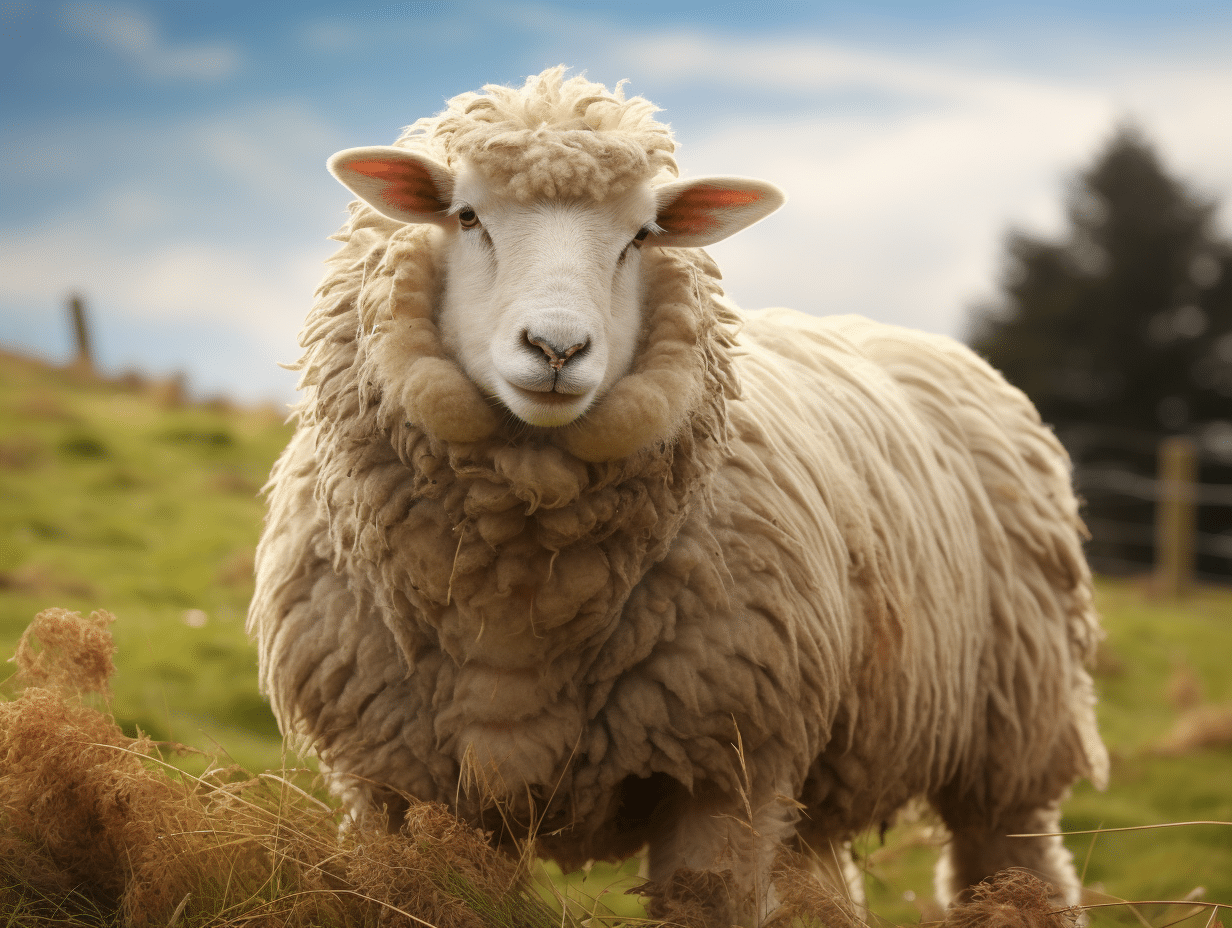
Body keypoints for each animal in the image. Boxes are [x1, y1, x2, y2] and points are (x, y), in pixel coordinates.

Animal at [248, 67, 1108, 920]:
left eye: (641, 235)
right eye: (466, 216)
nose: (556, 349)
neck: (518, 613)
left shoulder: (728, 773)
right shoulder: (395, 788)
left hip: (1013, 742)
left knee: (1016, 870)